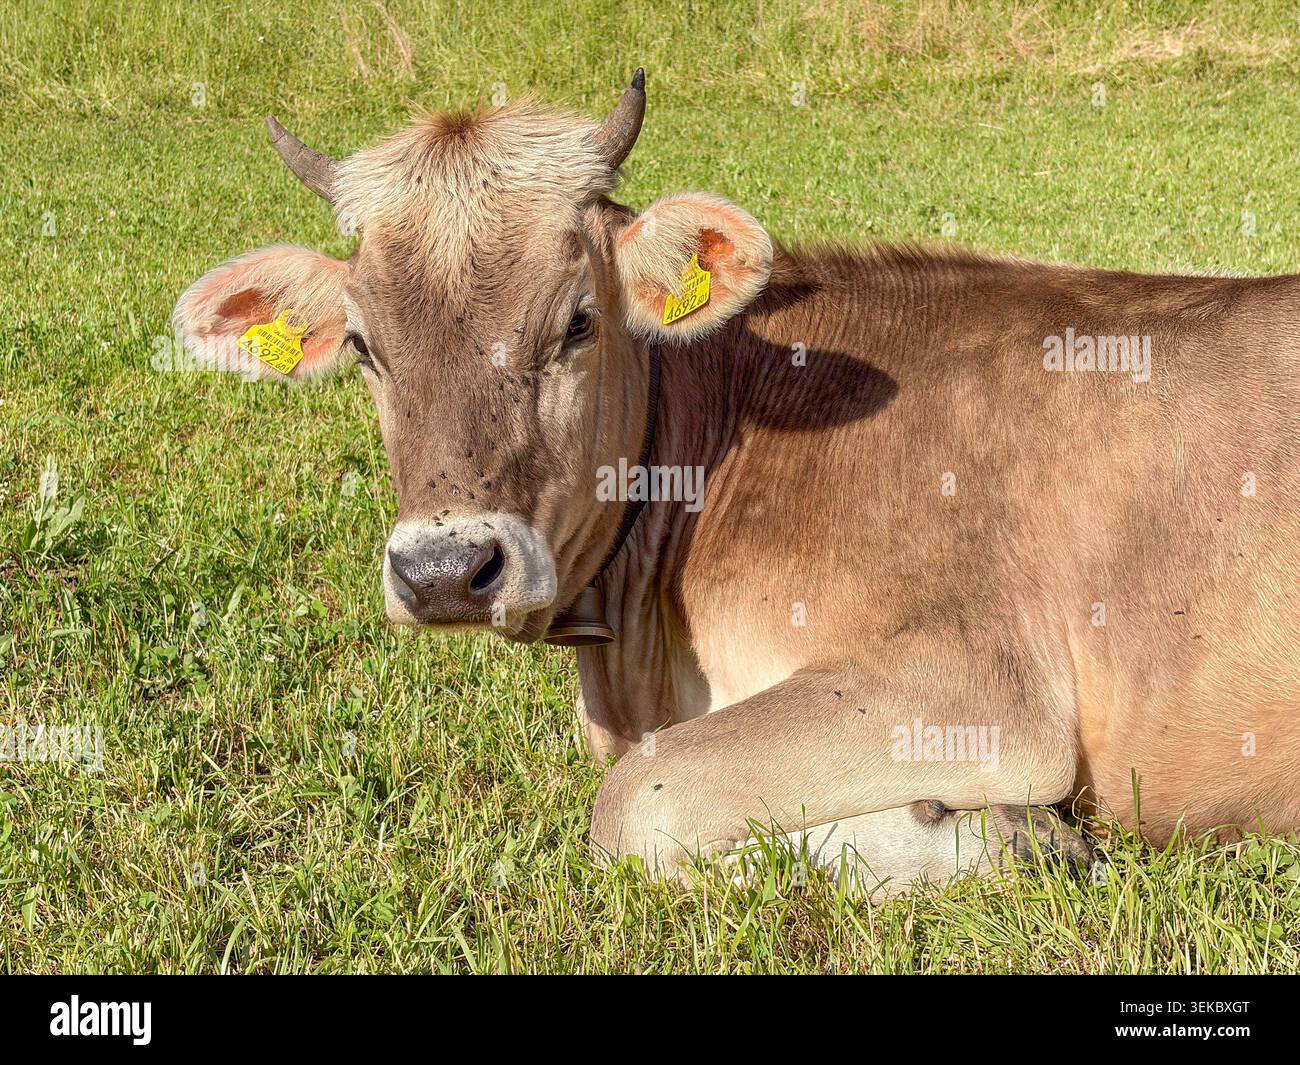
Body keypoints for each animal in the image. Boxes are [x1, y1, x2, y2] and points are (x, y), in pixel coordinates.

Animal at [173, 71, 1300, 898]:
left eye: (579, 320)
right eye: (364, 347)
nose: (447, 570)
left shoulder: (975, 680)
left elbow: (636, 803)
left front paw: (1007, 838)